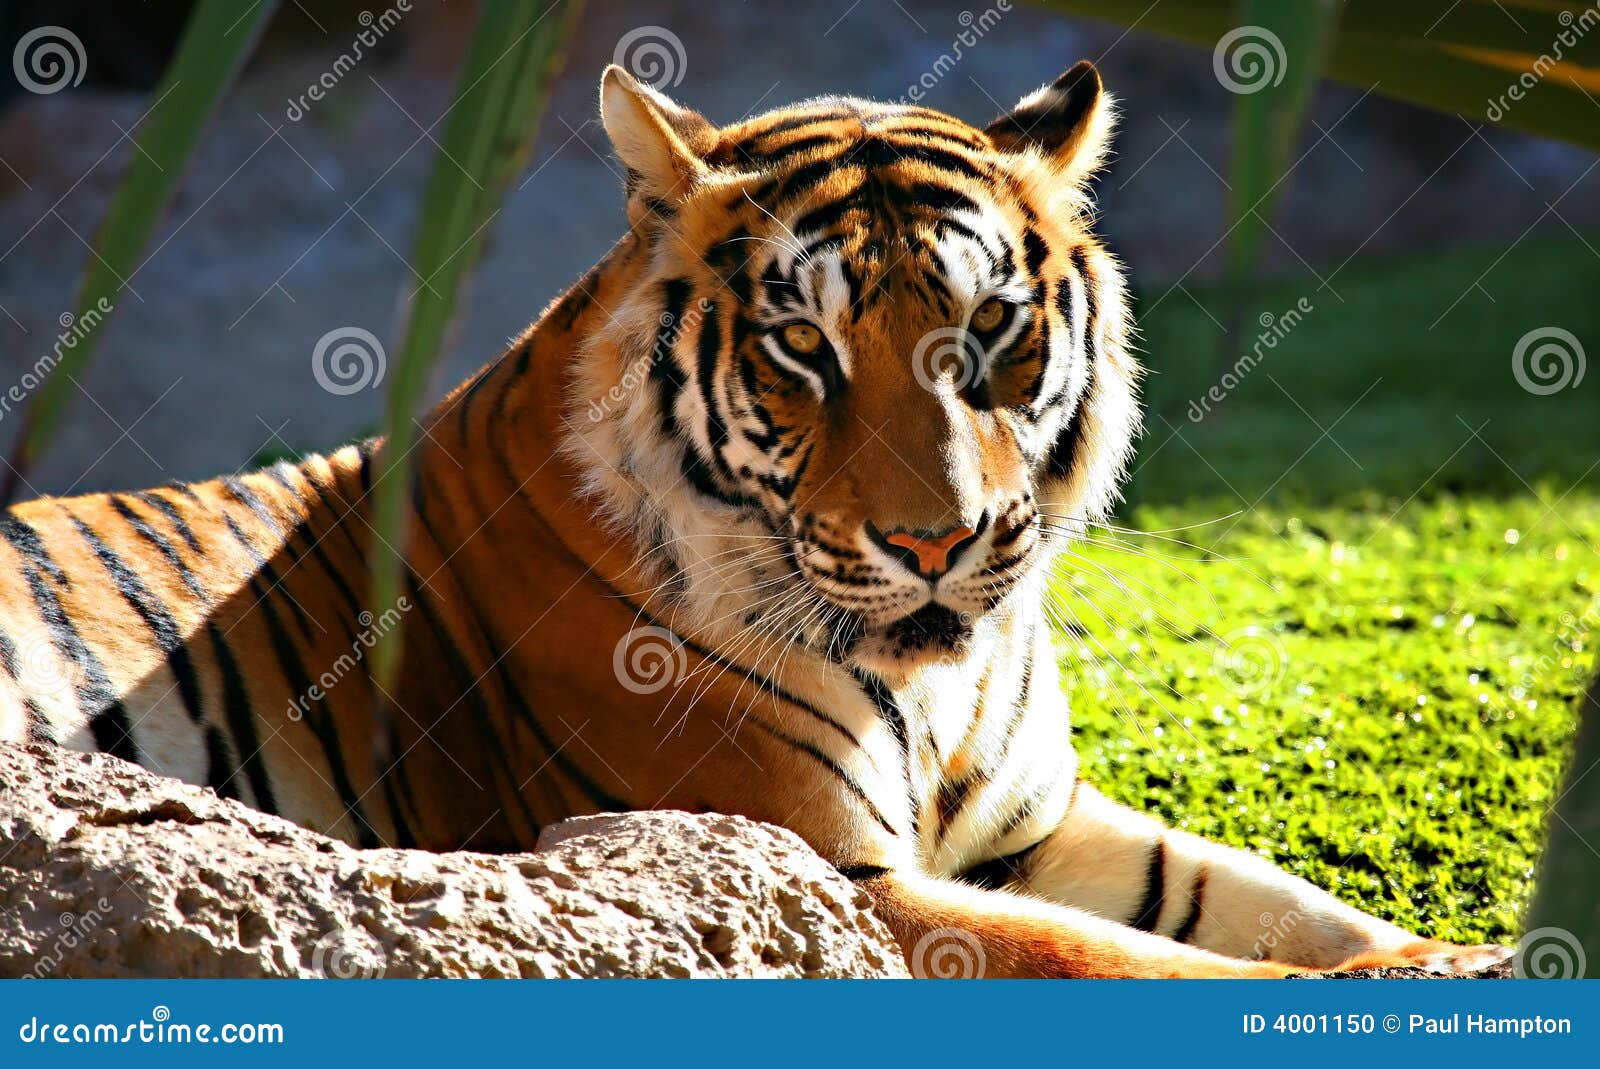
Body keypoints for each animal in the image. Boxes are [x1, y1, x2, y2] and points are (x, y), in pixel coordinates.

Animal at [0, 61, 1510, 978]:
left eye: (990, 328)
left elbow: (1271, 900)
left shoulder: (1038, 826)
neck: (943, 693)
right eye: (803, 347)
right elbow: (1132, 961)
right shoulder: (818, 868)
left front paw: (1448, 956)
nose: (935, 544)